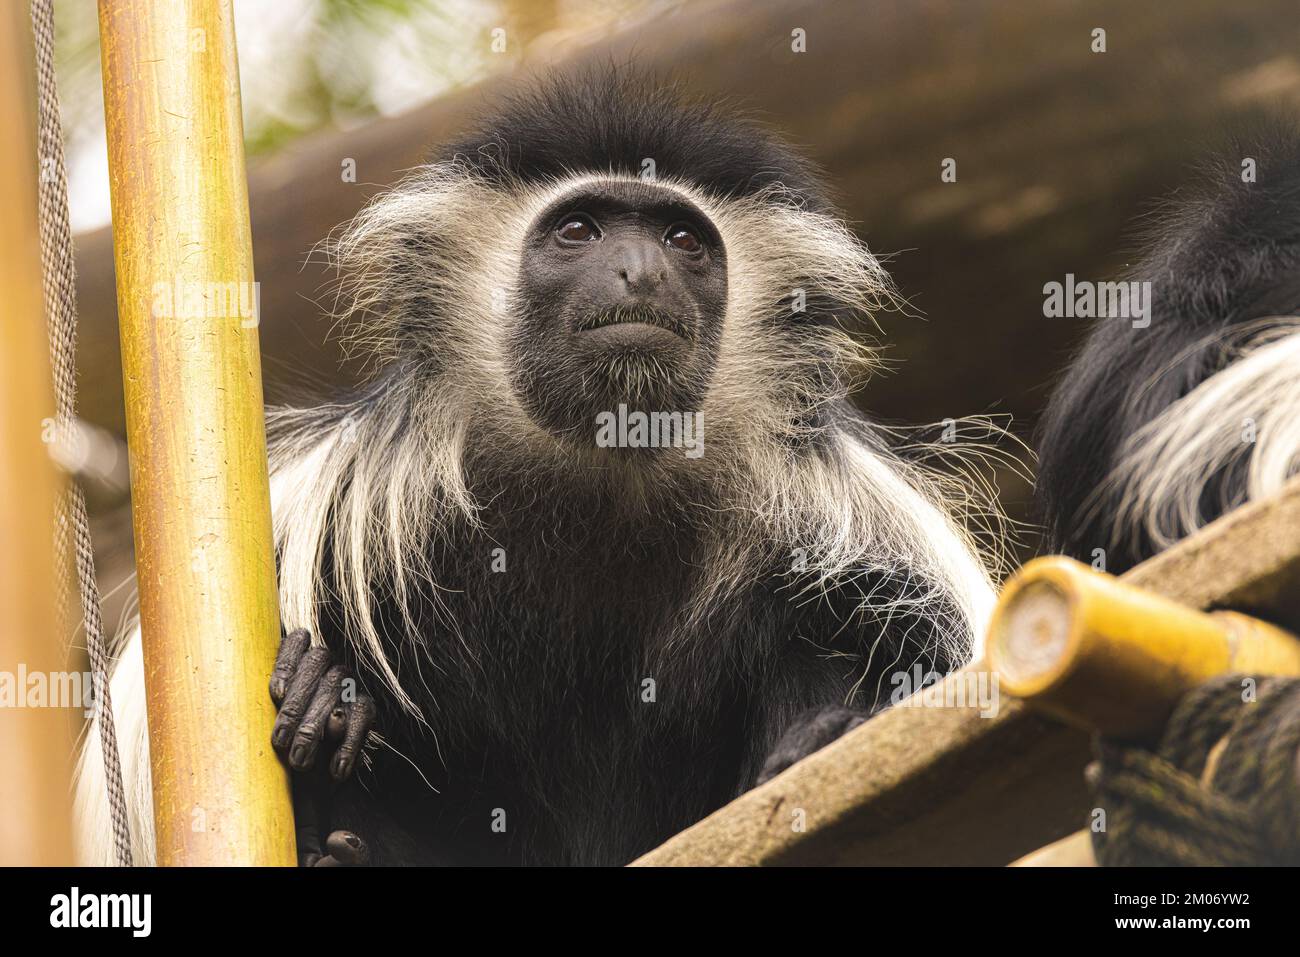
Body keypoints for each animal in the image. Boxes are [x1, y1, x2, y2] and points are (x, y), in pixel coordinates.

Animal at [74, 70, 1005, 866]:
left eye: (682, 239)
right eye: (578, 231)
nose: (642, 272)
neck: (602, 469)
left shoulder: (843, 511)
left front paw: (832, 732)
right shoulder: (348, 488)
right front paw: (317, 690)